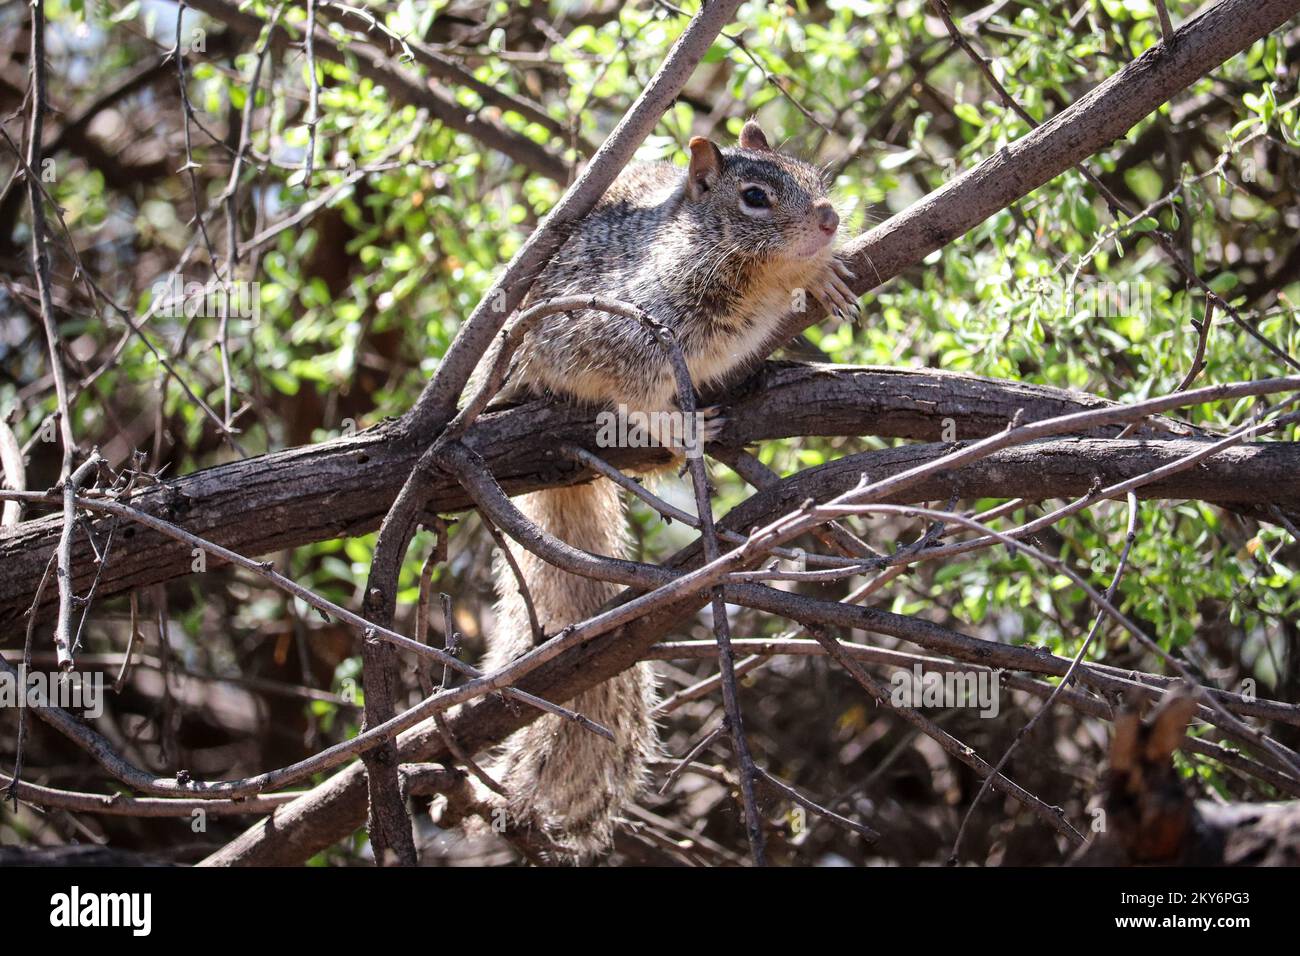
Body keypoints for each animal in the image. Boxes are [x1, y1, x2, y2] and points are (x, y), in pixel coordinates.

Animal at [477, 120, 857, 862]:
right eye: (755, 197)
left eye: (813, 176)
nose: (829, 220)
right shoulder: (615, 332)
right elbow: (633, 397)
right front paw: (676, 427)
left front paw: (825, 274)